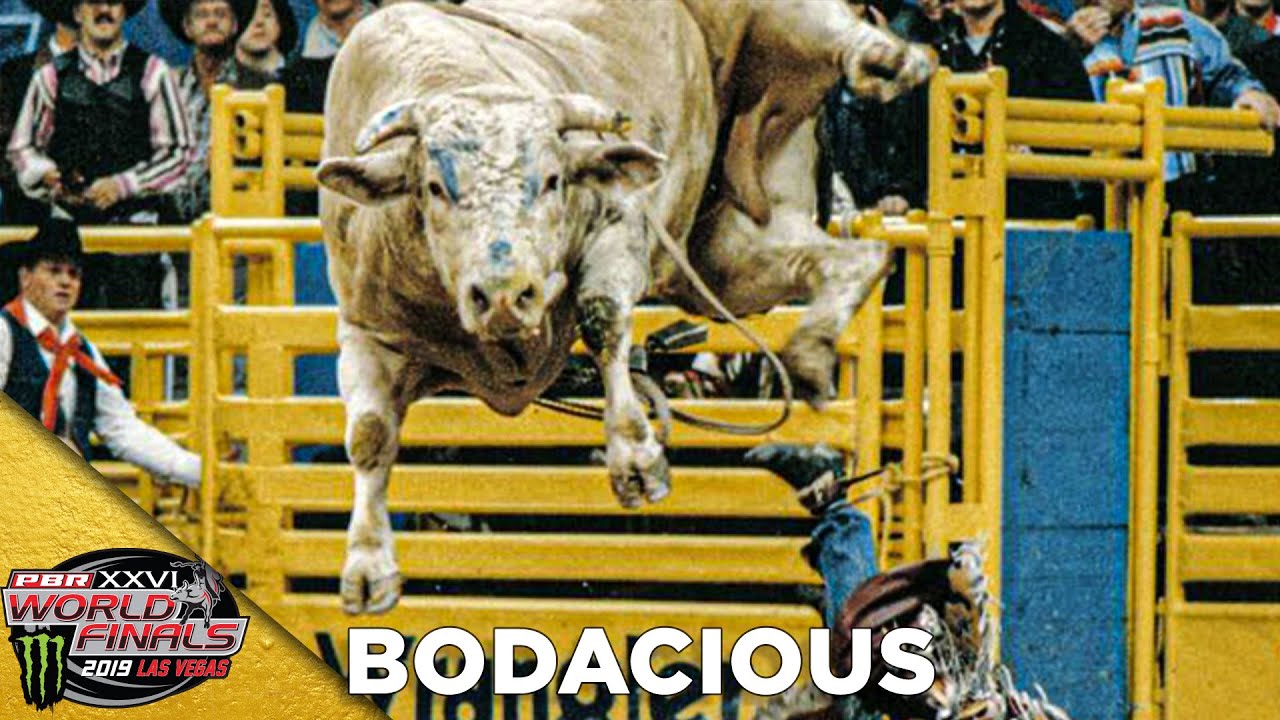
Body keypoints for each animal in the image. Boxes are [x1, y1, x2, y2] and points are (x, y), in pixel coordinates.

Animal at [315, 0, 934, 614]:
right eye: (434, 187)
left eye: (553, 179)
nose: (506, 294)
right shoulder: (367, 332)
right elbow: (369, 436)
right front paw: (367, 569)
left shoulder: (619, 225)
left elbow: (601, 315)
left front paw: (636, 460)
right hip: (726, 251)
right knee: (853, 259)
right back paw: (808, 355)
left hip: (780, 36)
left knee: (827, 30)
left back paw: (891, 60)